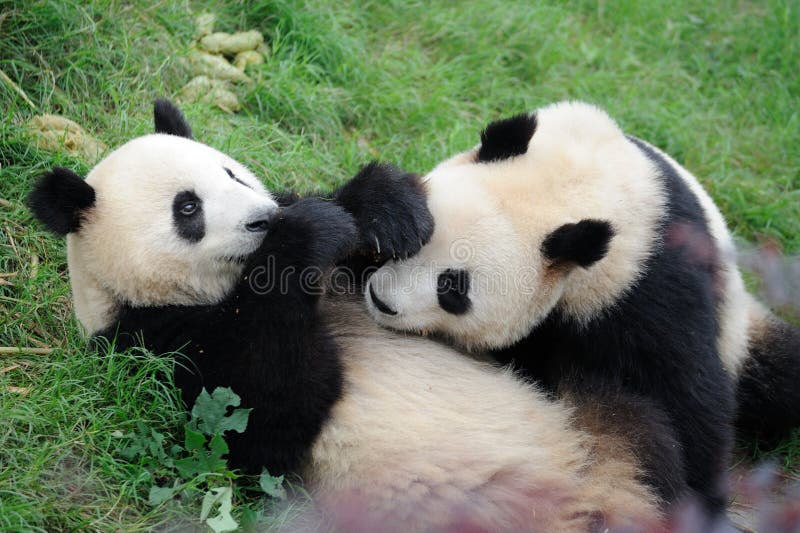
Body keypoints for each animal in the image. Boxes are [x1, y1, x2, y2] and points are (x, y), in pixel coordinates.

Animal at [27, 100, 670, 530]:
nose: (260, 218)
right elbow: (256, 415)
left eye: (231, 173)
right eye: (188, 209)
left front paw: (386, 210)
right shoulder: (155, 342)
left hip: (599, 427)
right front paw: (307, 233)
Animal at [366, 101, 800, 514]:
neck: (585, 189)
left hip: (741, 330)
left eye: (453, 287)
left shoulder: (652, 287)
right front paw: (389, 208)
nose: (383, 300)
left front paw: (697, 500)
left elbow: (688, 393)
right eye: (416, 245)